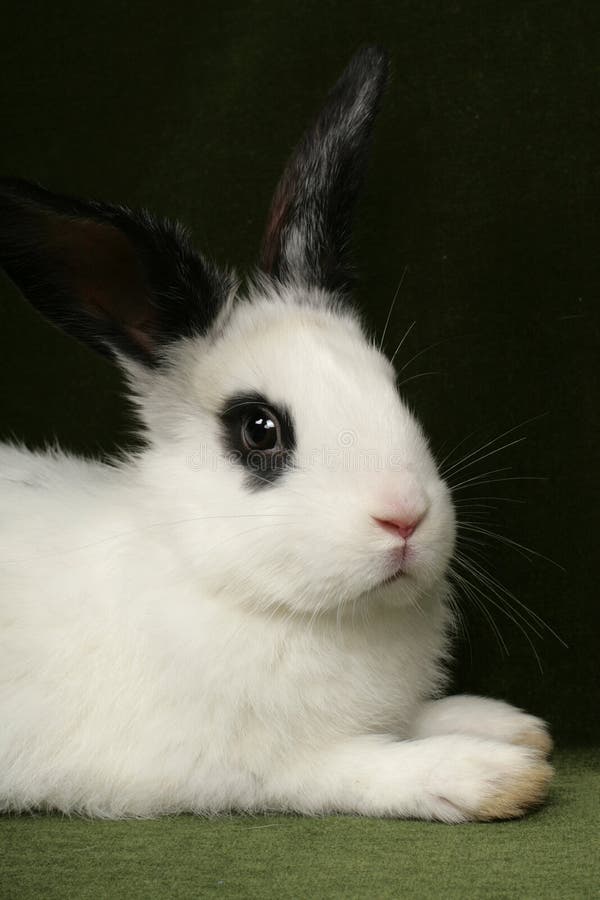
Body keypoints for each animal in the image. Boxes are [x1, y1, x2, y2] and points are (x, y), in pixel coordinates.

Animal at [0, 47, 553, 821]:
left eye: (390, 385)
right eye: (259, 430)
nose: (405, 517)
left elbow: (408, 718)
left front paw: (506, 724)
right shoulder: (257, 768)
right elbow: (364, 765)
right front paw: (492, 773)